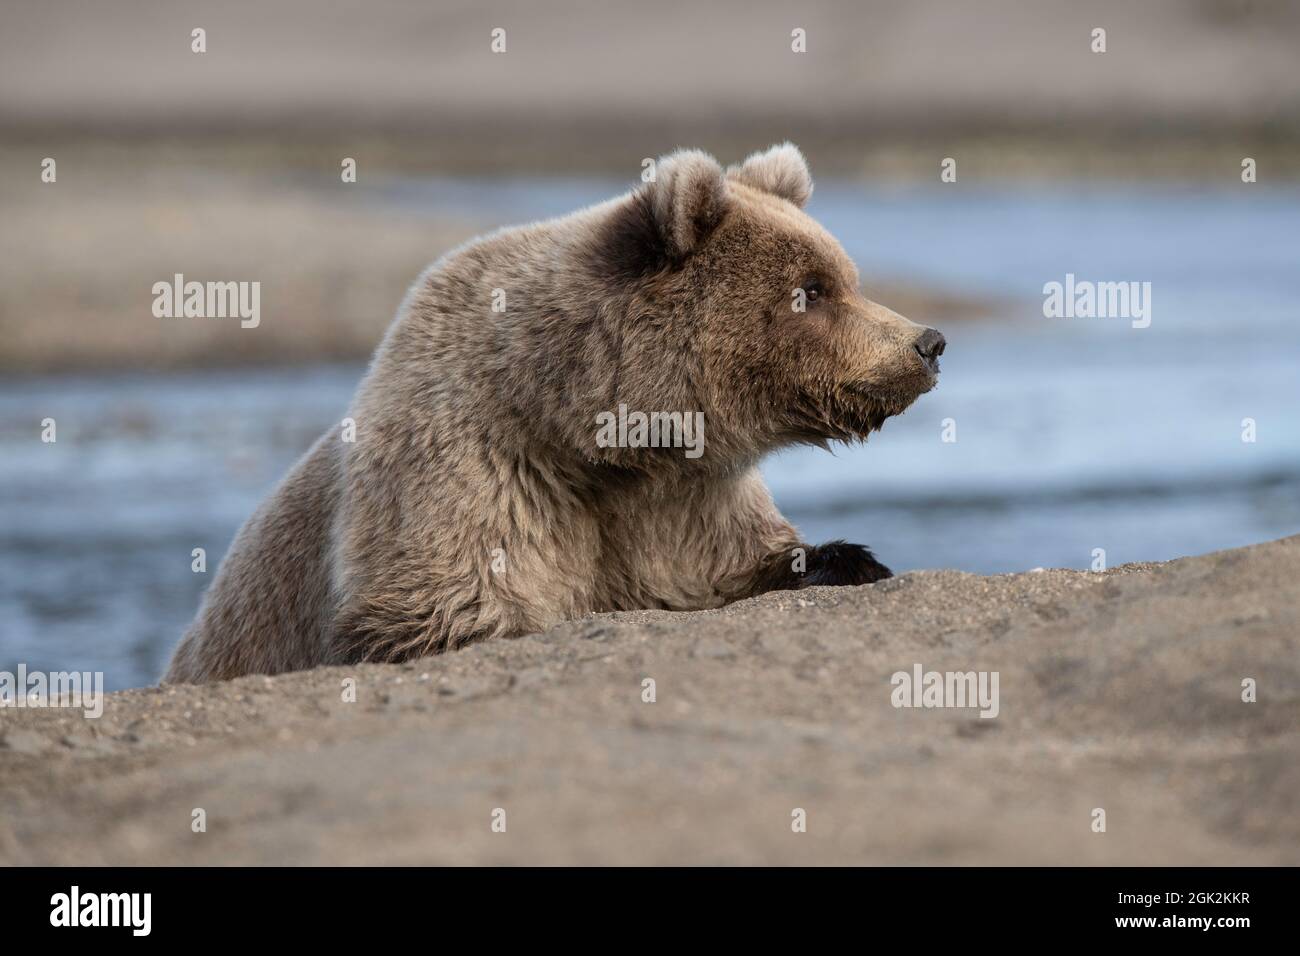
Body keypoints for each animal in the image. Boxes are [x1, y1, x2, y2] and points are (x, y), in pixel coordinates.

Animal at [164, 143, 945, 683]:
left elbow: (725, 566)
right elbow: (453, 612)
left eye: (845, 278)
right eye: (810, 290)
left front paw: (849, 559)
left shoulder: (683, 498)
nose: (927, 343)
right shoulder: (470, 475)